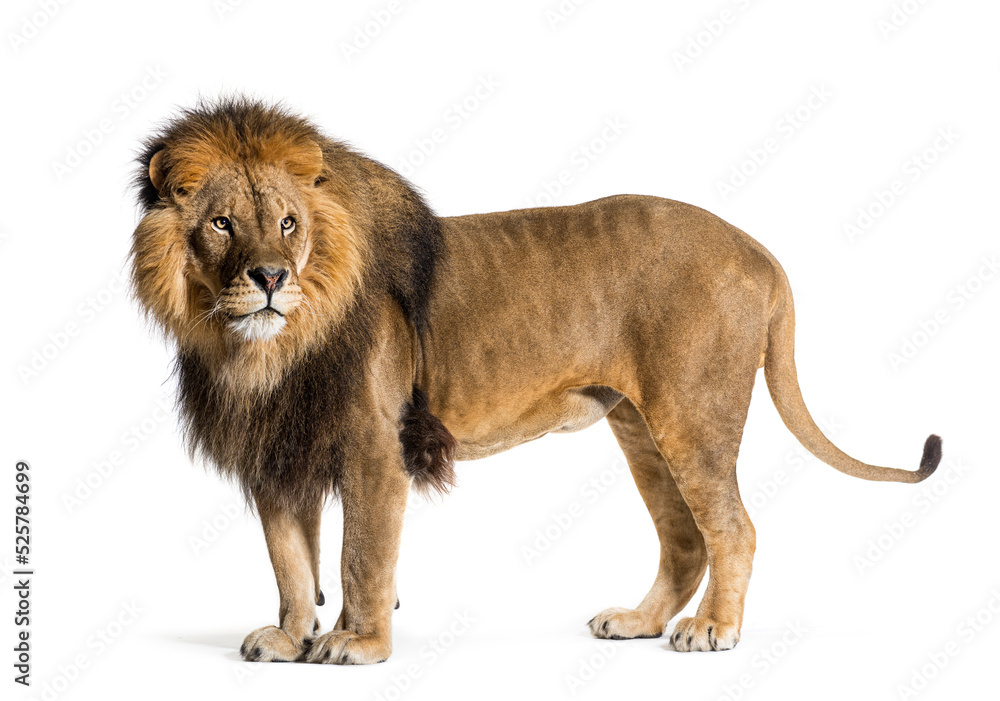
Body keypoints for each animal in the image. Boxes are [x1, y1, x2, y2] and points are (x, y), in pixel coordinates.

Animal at [129, 98, 941, 663]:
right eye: (223, 224)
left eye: (289, 223)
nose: (269, 278)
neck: (268, 350)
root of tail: (758, 247)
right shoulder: (276, 453)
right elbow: (291, 559)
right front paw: (291, 636)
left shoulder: (375, 446)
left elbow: (361, 555)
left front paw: (358, 643)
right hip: (640, 427)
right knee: (685, 538)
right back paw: (639, 622)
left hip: (693, 416)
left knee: (733, 528)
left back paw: (712, 628)